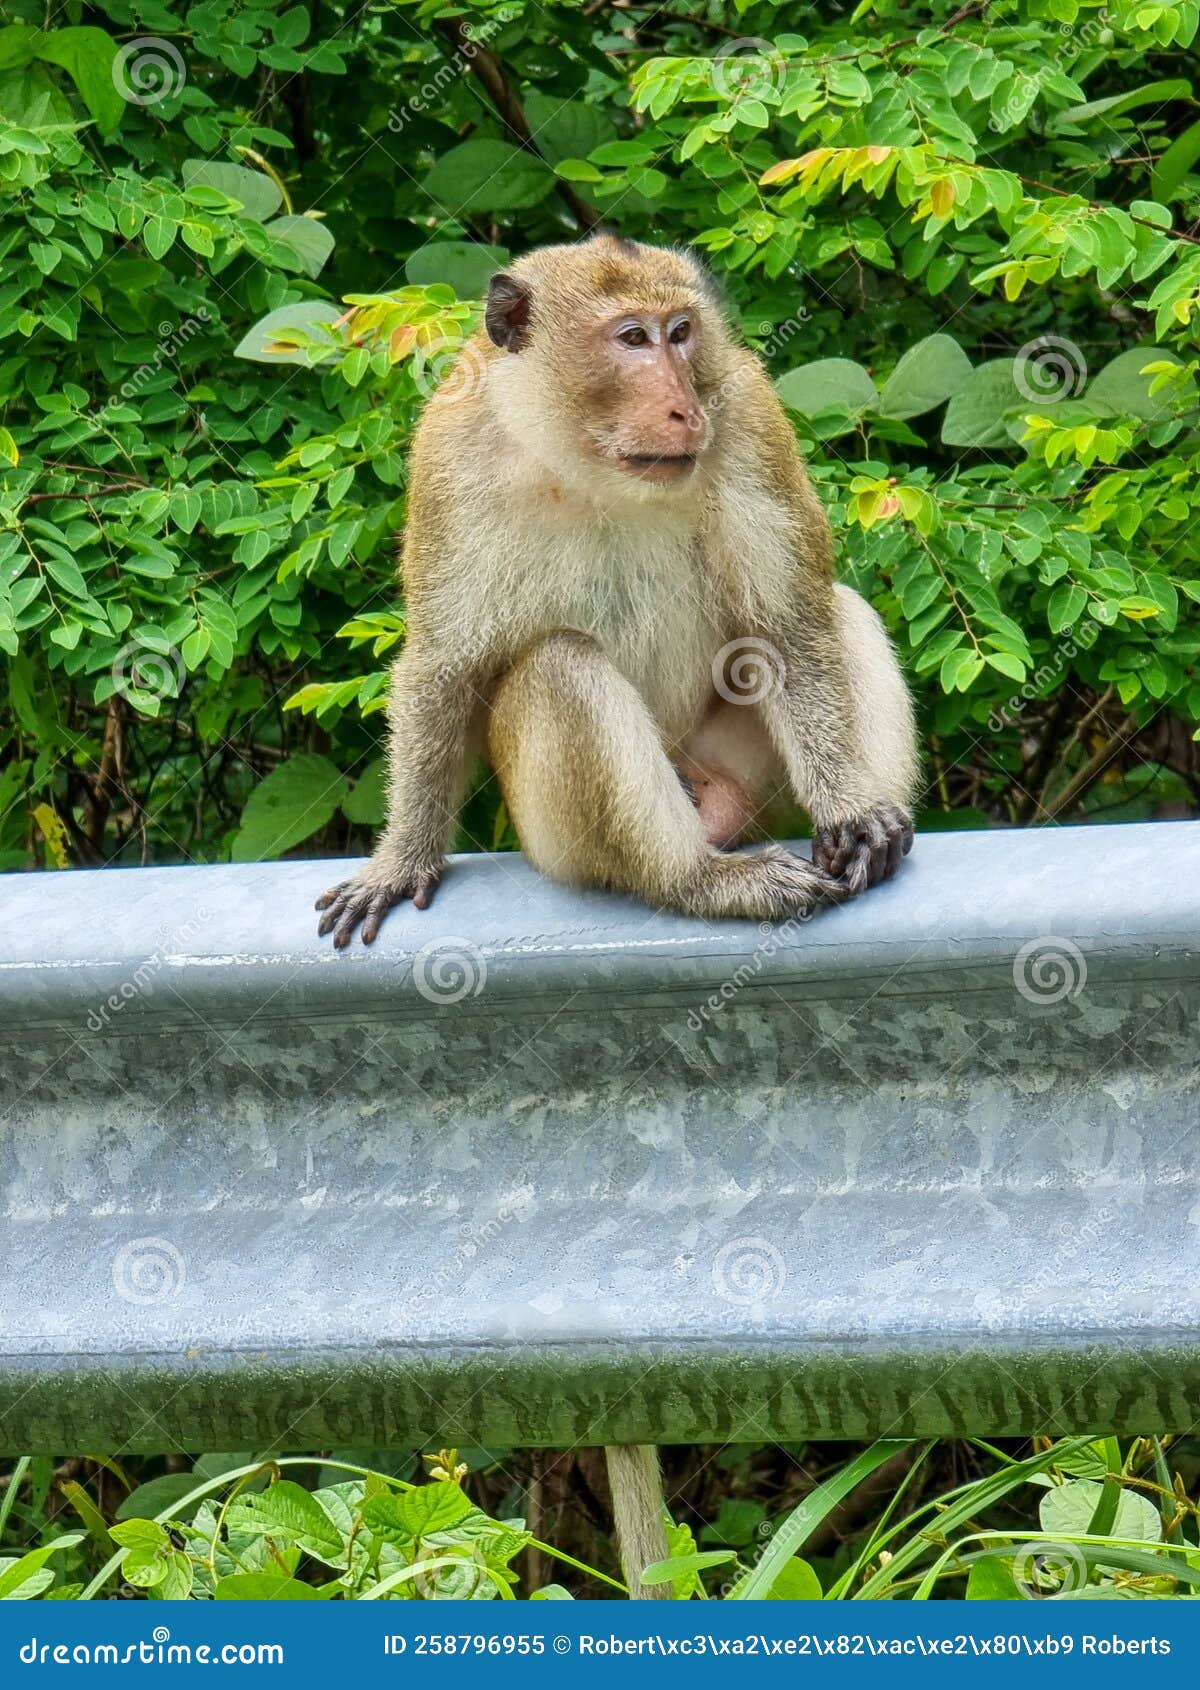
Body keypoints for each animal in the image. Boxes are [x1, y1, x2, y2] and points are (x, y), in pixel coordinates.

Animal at [316, 233, 916, 945]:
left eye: (680, 333)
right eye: (632, 338)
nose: (684, 408)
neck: (584, 458)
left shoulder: (748, 412)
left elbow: (788, 622)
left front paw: (851, 810)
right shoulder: (450, 451)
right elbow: (446, 663)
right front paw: (402, 861)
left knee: (839, 610)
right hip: (554, 842)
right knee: (561, 664)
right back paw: (699, 880)